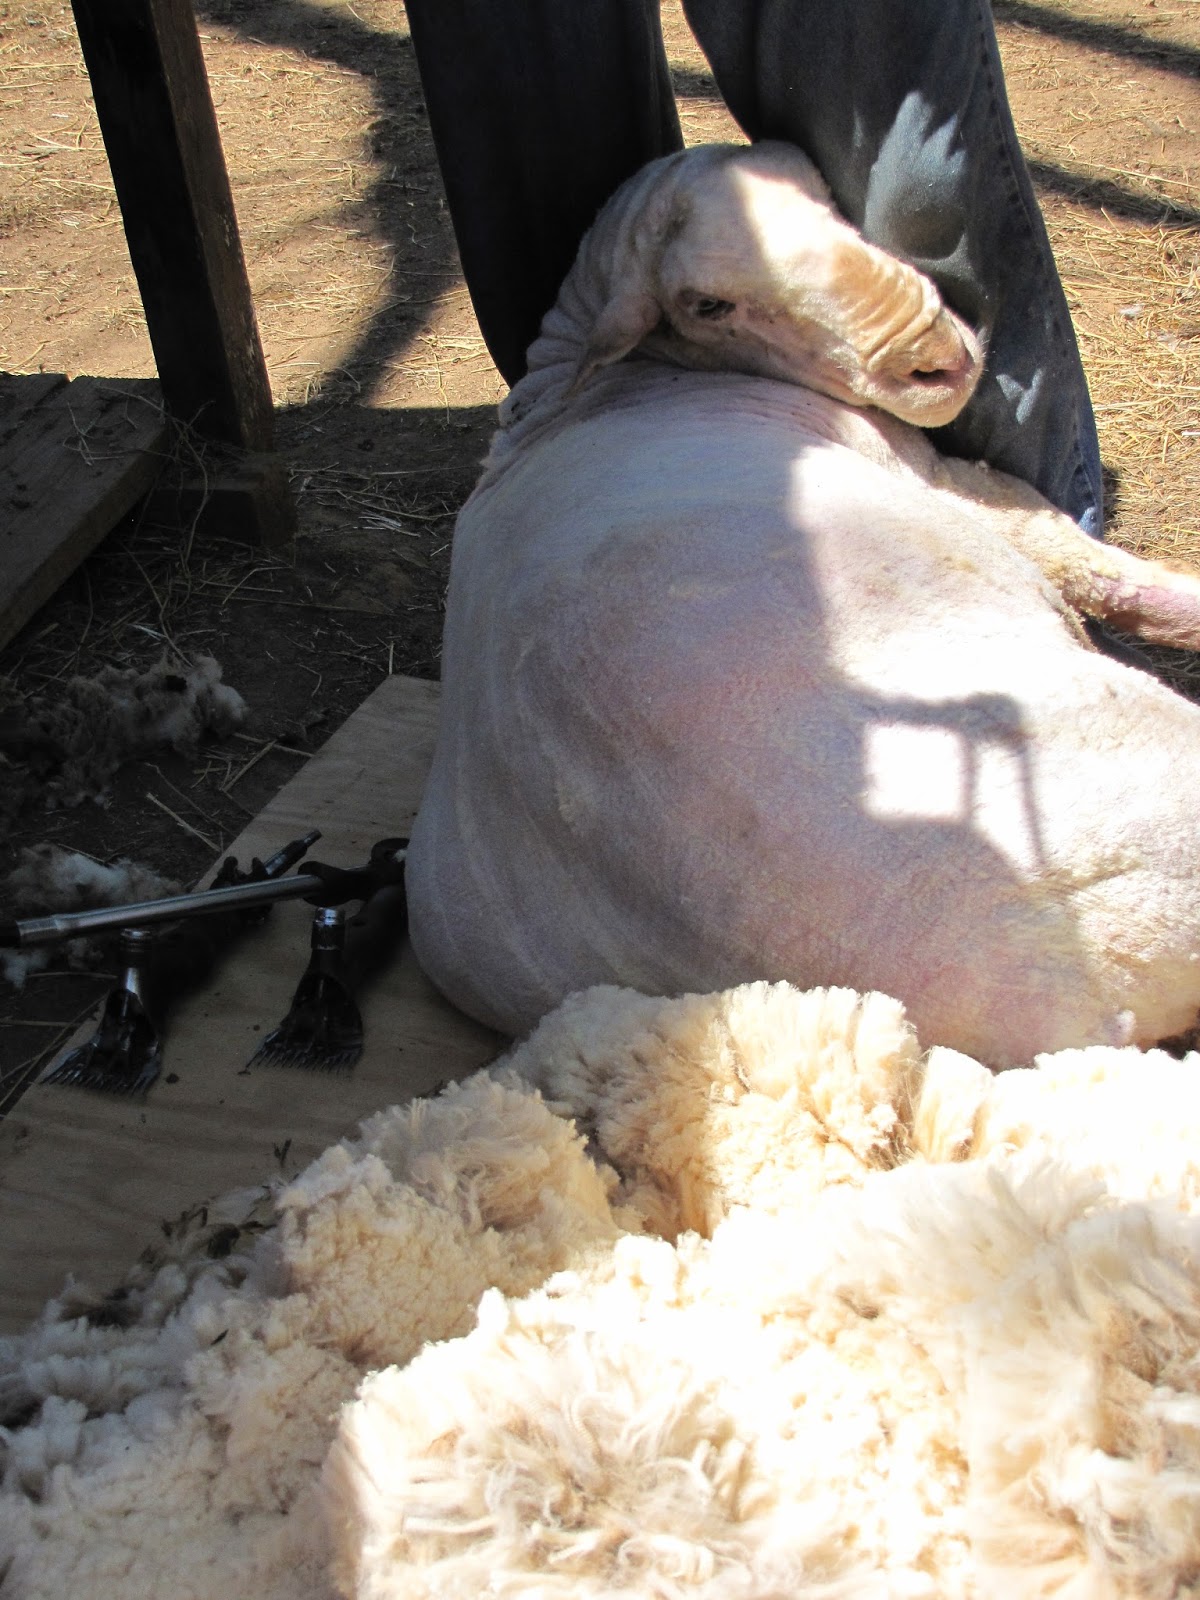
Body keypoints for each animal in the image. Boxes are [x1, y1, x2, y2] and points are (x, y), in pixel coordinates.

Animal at [406, 140, 1200, 1068]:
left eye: (827, 202)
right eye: (708, 304)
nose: (935, 359)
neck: (586, 384)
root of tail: (1077, 1013)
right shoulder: (944, 473)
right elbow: (1073, 550)